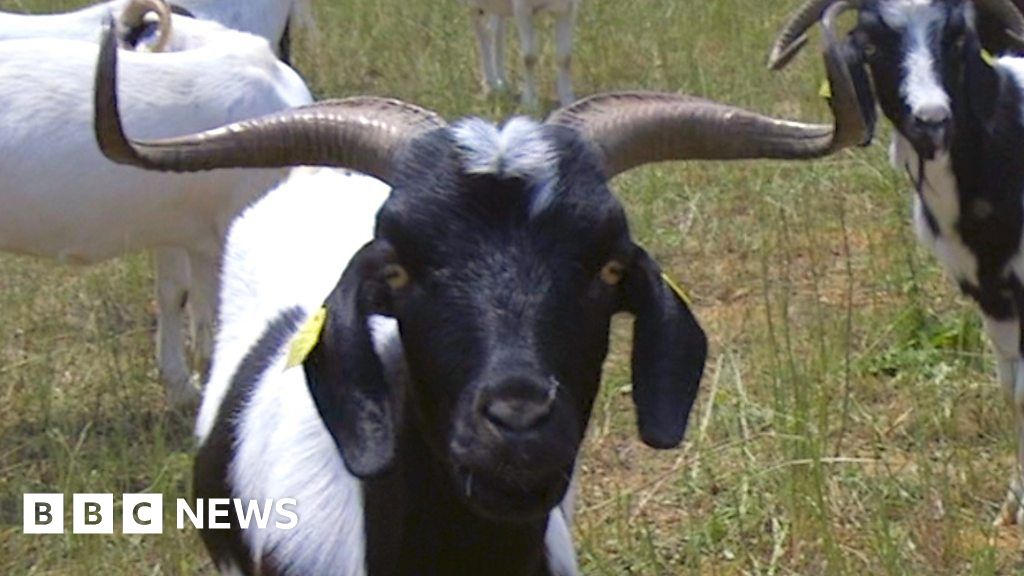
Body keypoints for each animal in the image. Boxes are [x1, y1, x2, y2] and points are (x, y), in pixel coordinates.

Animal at [768, 0, 1024, 526]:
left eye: (957, 36)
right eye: (870, 44)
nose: (931, 119)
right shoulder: (992, 293)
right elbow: (1013, 388)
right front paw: (1013, 506)